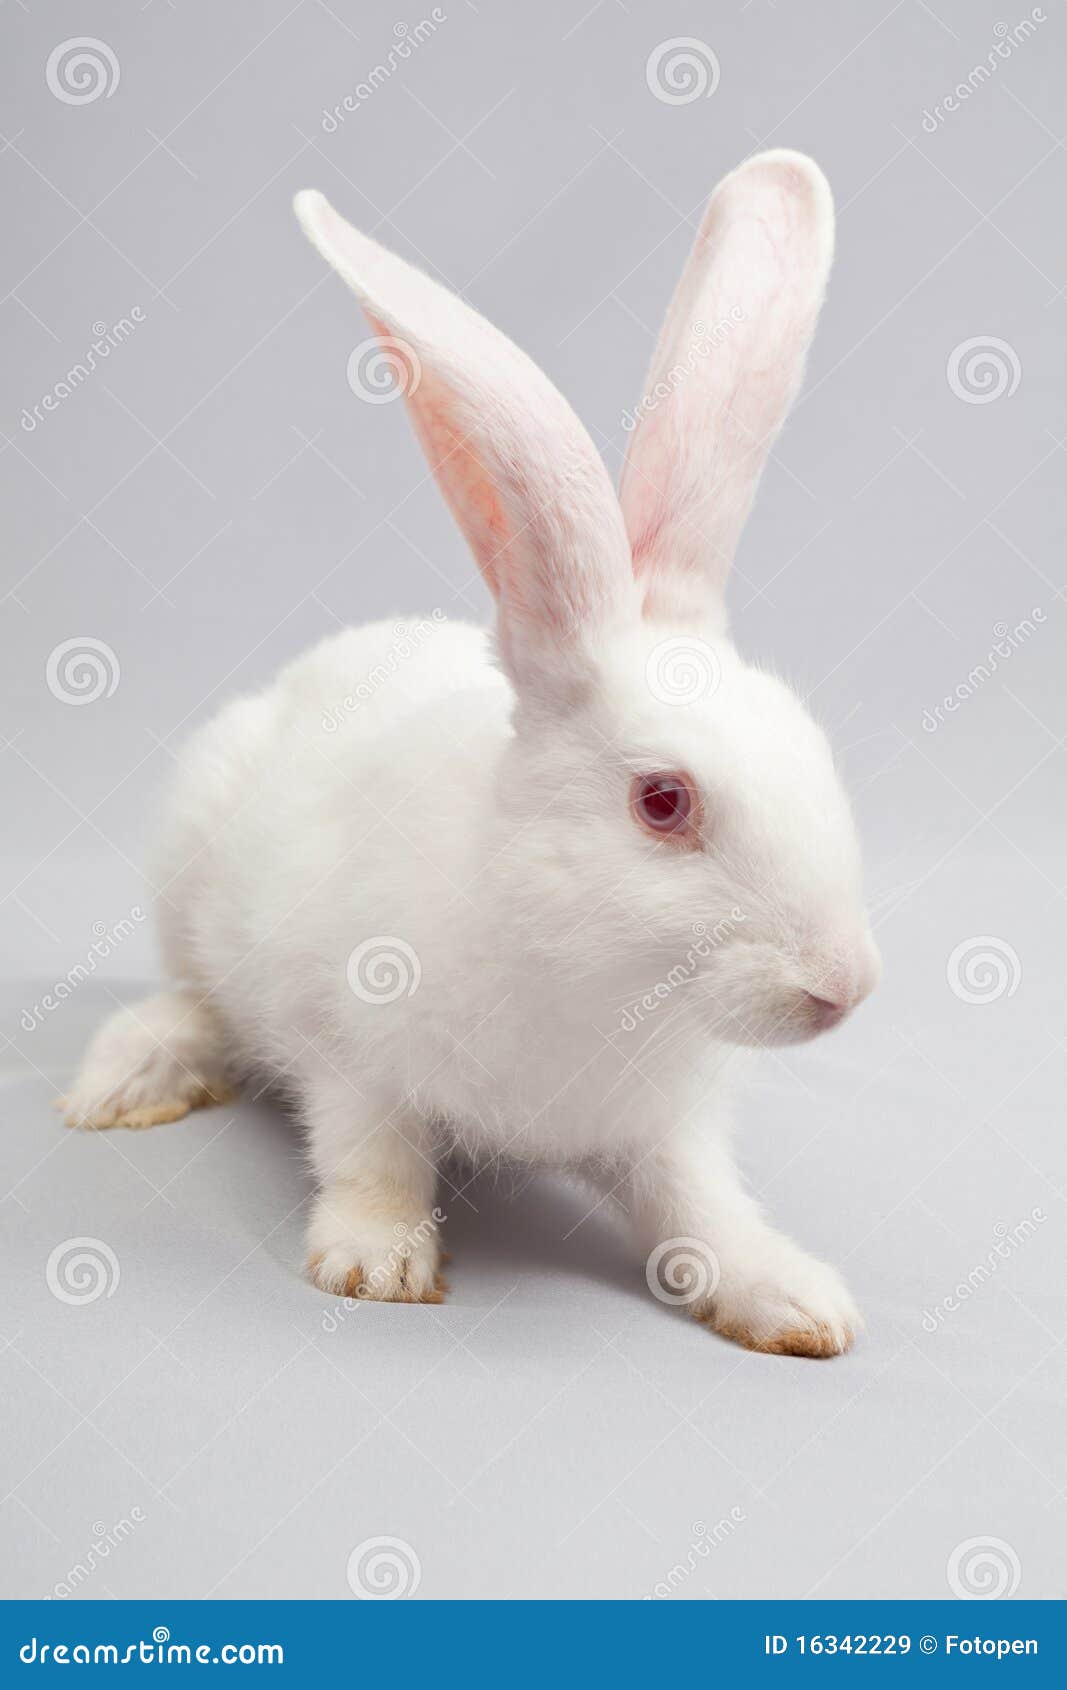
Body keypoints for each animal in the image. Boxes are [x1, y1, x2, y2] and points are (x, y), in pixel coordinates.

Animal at [64, 149, 880, 1357]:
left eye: (813, 749)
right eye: (662, 801)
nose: (845, 987)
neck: (580, 968)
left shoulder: (663, 1128)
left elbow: (697, 1207)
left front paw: (793, 1301)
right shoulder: (348, 1048)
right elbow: (371, 1154)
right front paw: (375, 1265)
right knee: (197, 1005)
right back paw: (122, 1083)